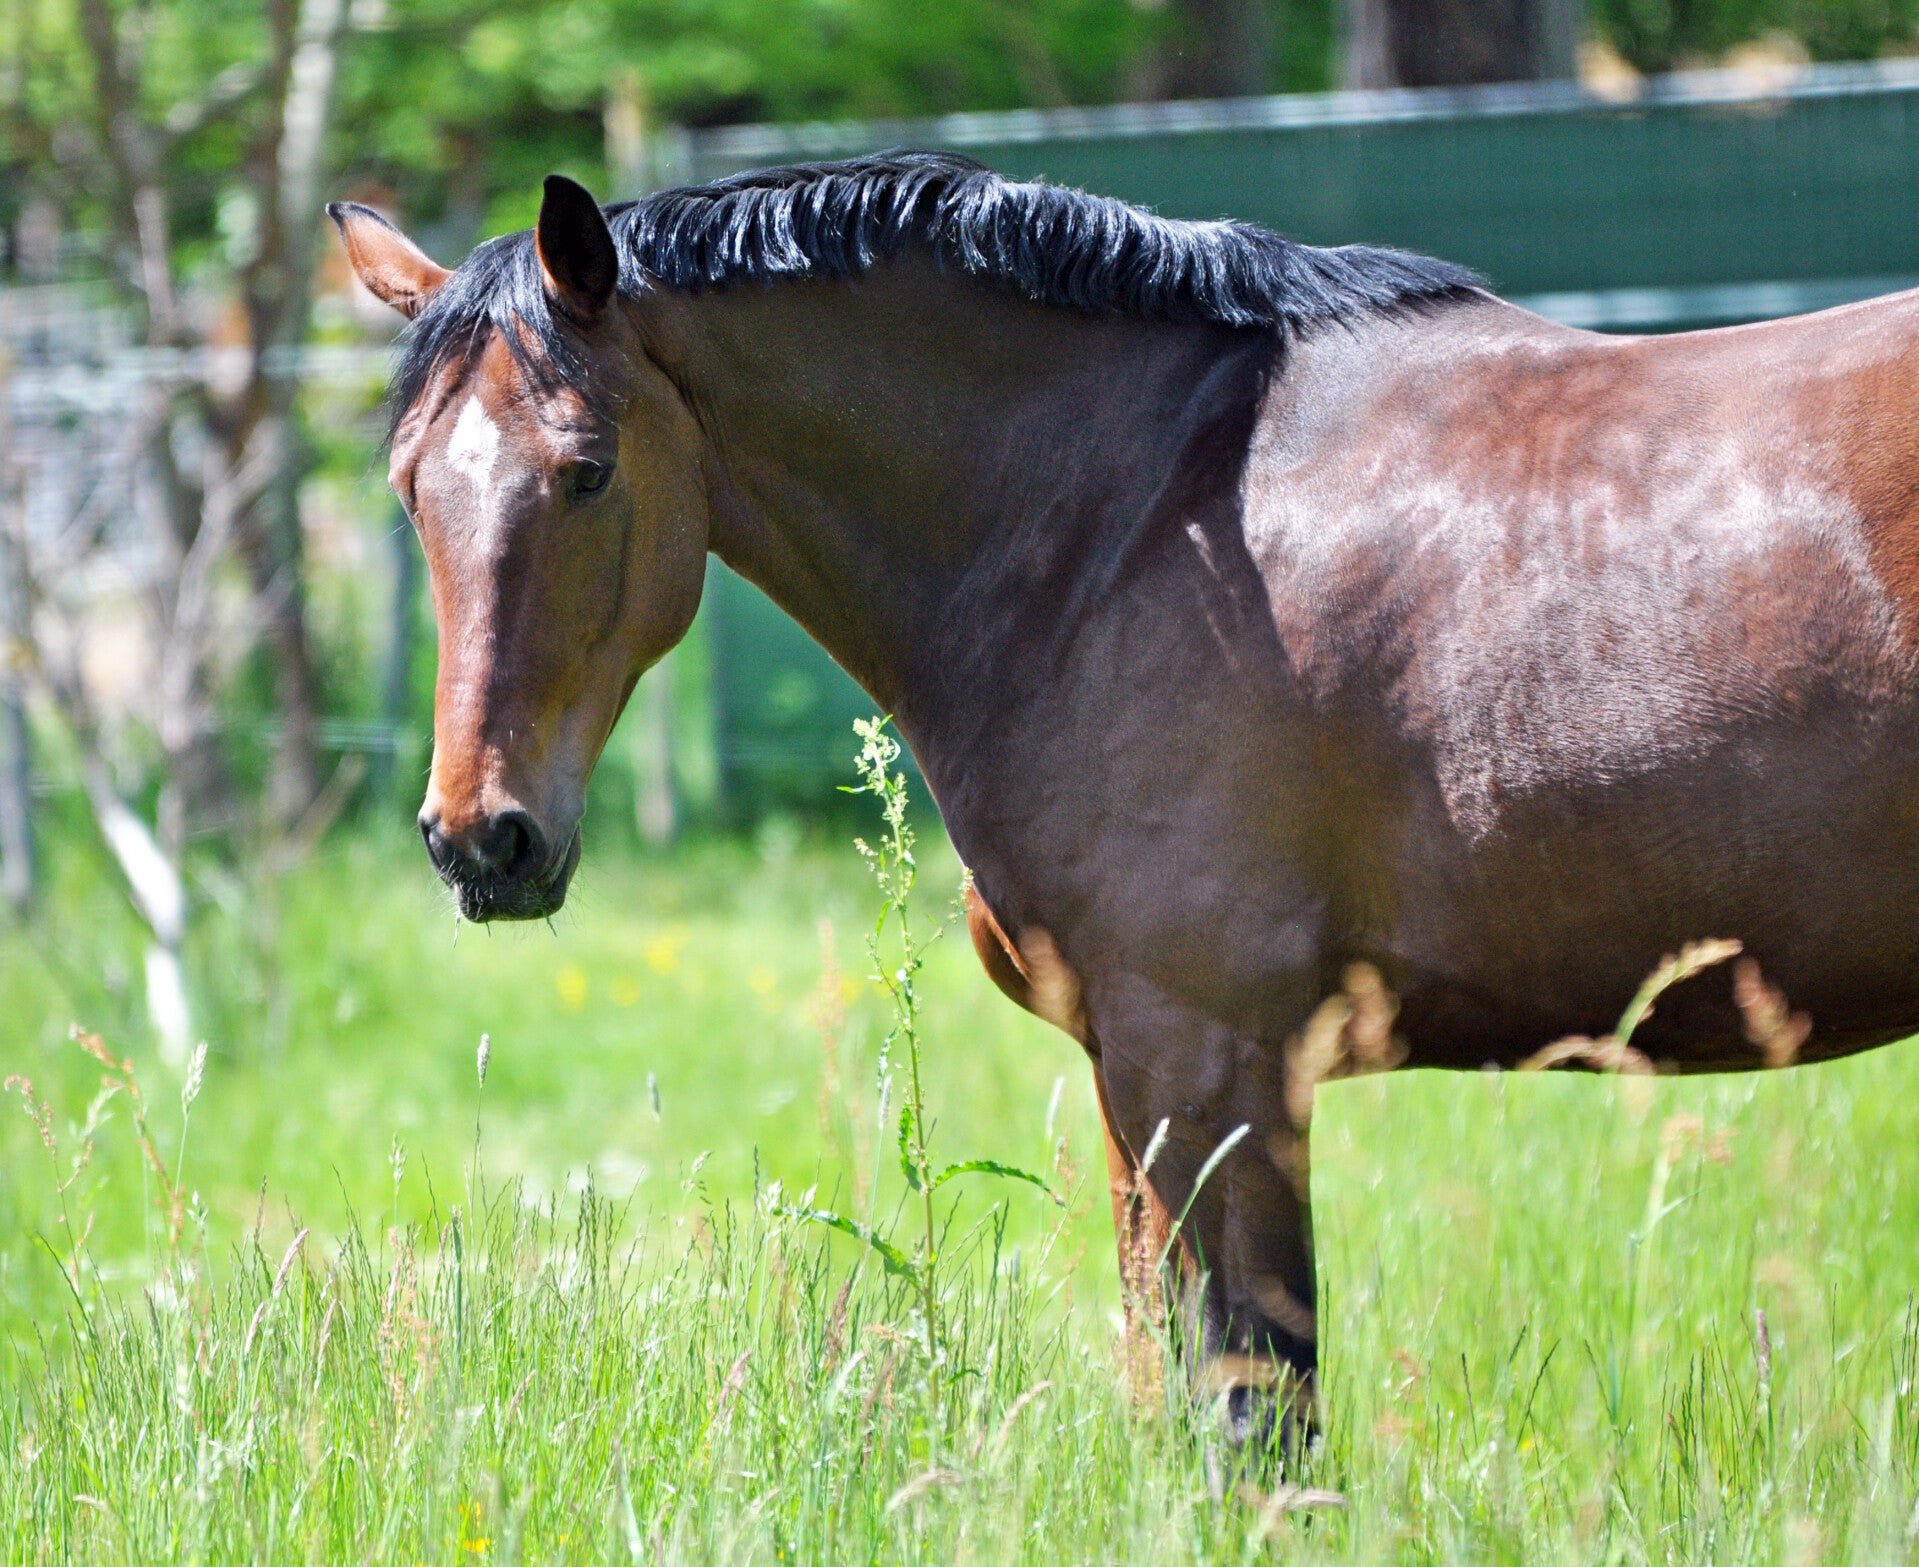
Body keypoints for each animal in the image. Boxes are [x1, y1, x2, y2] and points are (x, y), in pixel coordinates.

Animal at [330, 151, 1919, 1436]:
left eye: (586, 472)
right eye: (407, 484)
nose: (480, 841)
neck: (1141, 519)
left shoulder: (1207, 1062)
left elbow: (1251, 1426)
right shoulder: (1130, 1082)